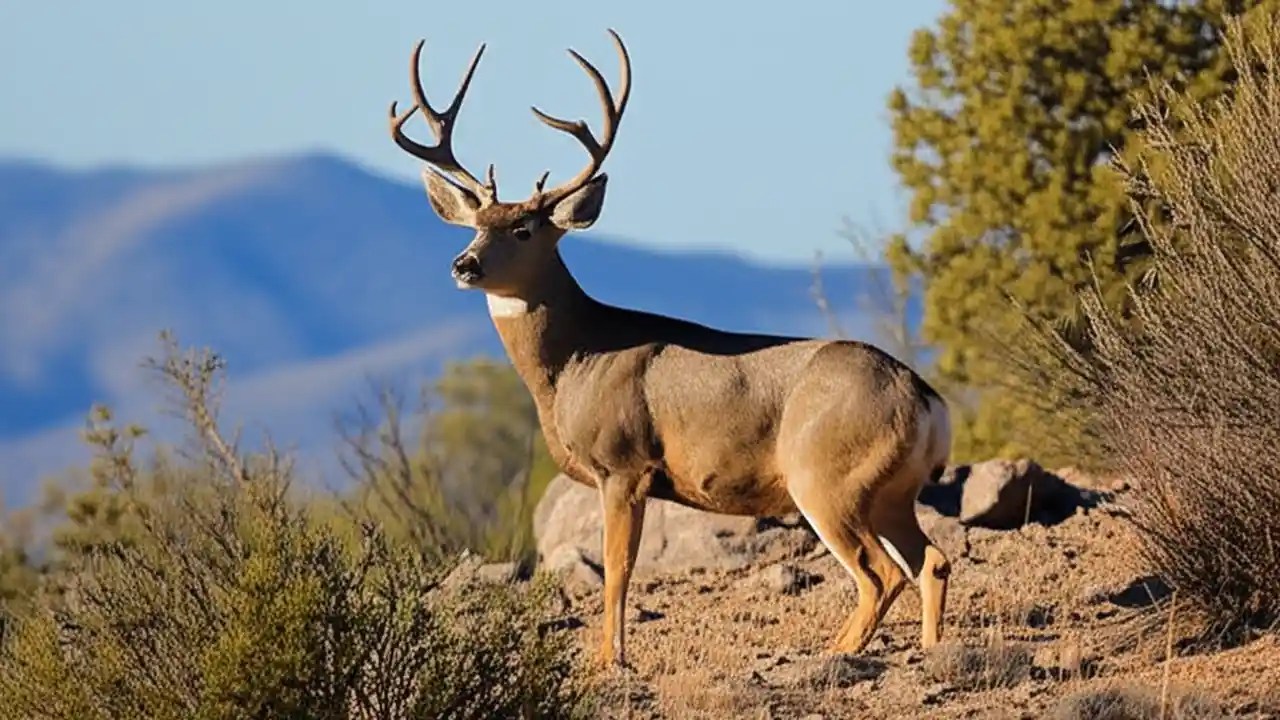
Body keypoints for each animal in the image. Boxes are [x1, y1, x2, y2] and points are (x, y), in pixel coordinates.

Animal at [387, 29, 953, 669]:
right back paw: (926, 646)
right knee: (931, 560)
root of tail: (925, 397)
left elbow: (618, 570)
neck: (577, 359)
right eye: (475, 225)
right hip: (891, 491)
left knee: (880, 572)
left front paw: (610, 661)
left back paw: (833, 650)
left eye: (524, 229)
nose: (464, 264)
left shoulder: (623, 463)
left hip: (826, 476)